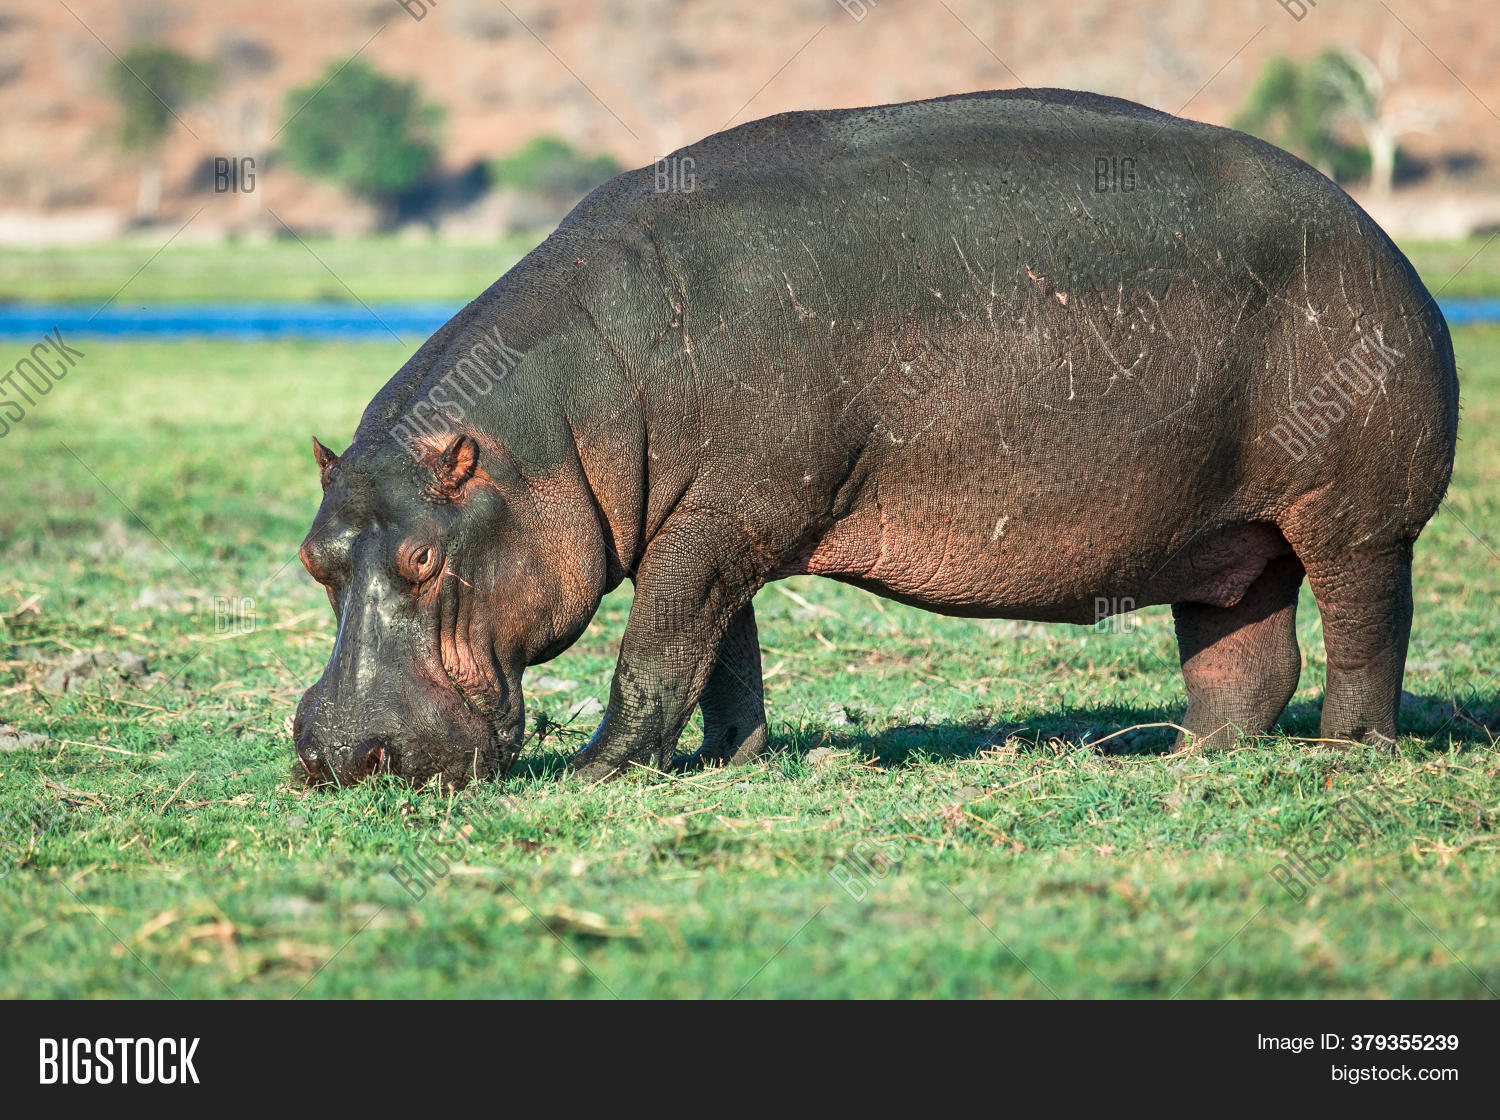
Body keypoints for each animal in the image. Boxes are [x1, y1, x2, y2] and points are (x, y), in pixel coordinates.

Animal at [292, 88, 1457, 788]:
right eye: (312, 560)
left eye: (423, 557)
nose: (338, 752)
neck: (564, 422)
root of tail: (1376, 231)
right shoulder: (715, 522)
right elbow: (721, 656)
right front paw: (737, 760)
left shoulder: (716, 523)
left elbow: (653, 655)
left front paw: (595, 772)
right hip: (1223, 535)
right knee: (1245, 659)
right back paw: (1172, 758)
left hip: (1355, 518)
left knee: (1365, 630)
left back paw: (1349, 754)